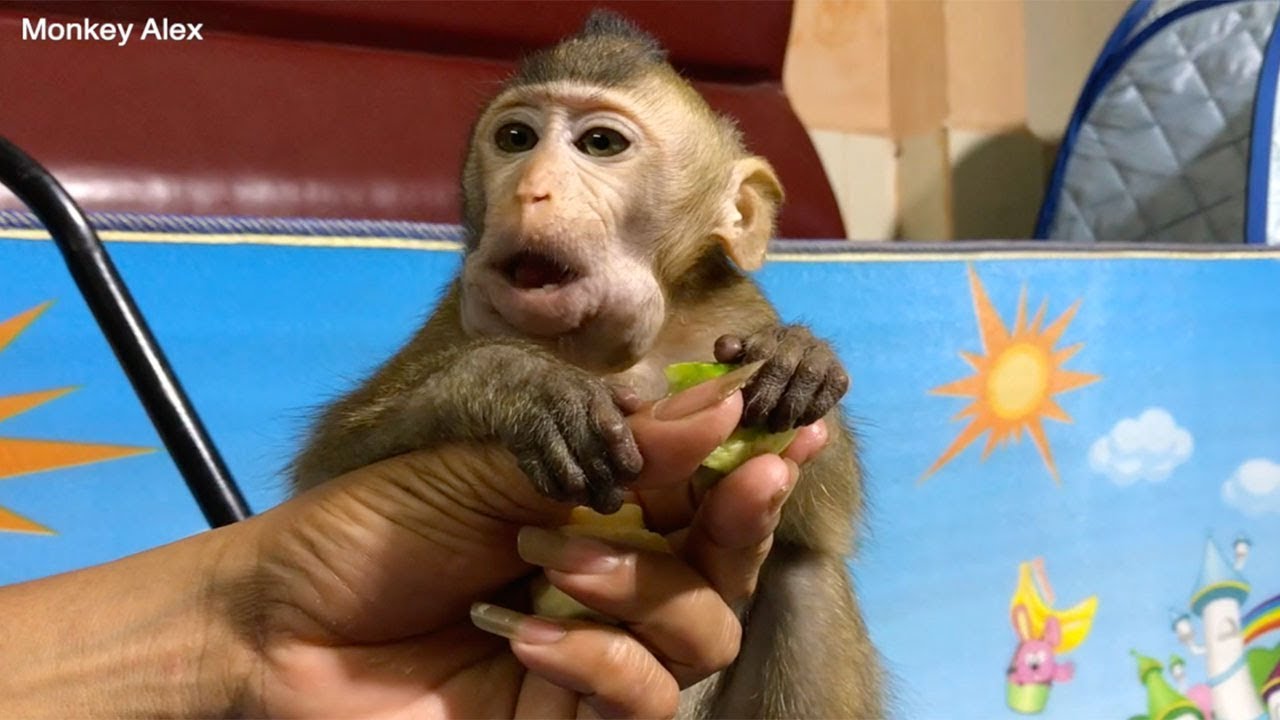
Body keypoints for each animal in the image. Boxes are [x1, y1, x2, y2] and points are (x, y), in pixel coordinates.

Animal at [291, 11, 883, 719]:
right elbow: (325, 471)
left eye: (600, 144)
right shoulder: (455, 317)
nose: (529, 190)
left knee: (805, 577)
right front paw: (518, 387)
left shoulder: (732, 312)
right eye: (515, 138)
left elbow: (825, 520)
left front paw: (798, 361)